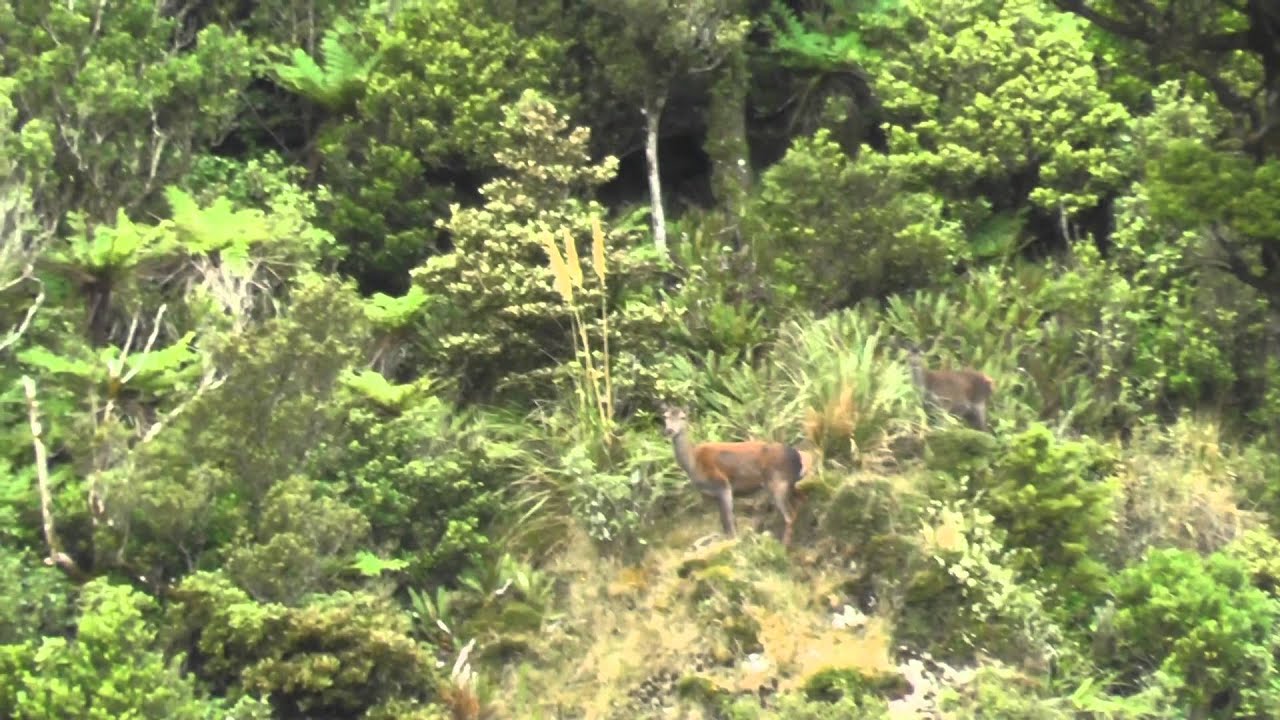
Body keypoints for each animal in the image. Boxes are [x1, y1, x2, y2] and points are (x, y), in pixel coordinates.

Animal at [661, 405, 809, 547]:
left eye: (683, 417)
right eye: (665, 416)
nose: (669, 431)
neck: (694, 463)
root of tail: (798, 458)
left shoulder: (723, 485)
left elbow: (728, 522)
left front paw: (733, 544)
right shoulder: (711, 496)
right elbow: (728, 522)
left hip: (778, 483)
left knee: (790, 515)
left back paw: (784, 546)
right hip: (789, 484)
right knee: (802, 500)